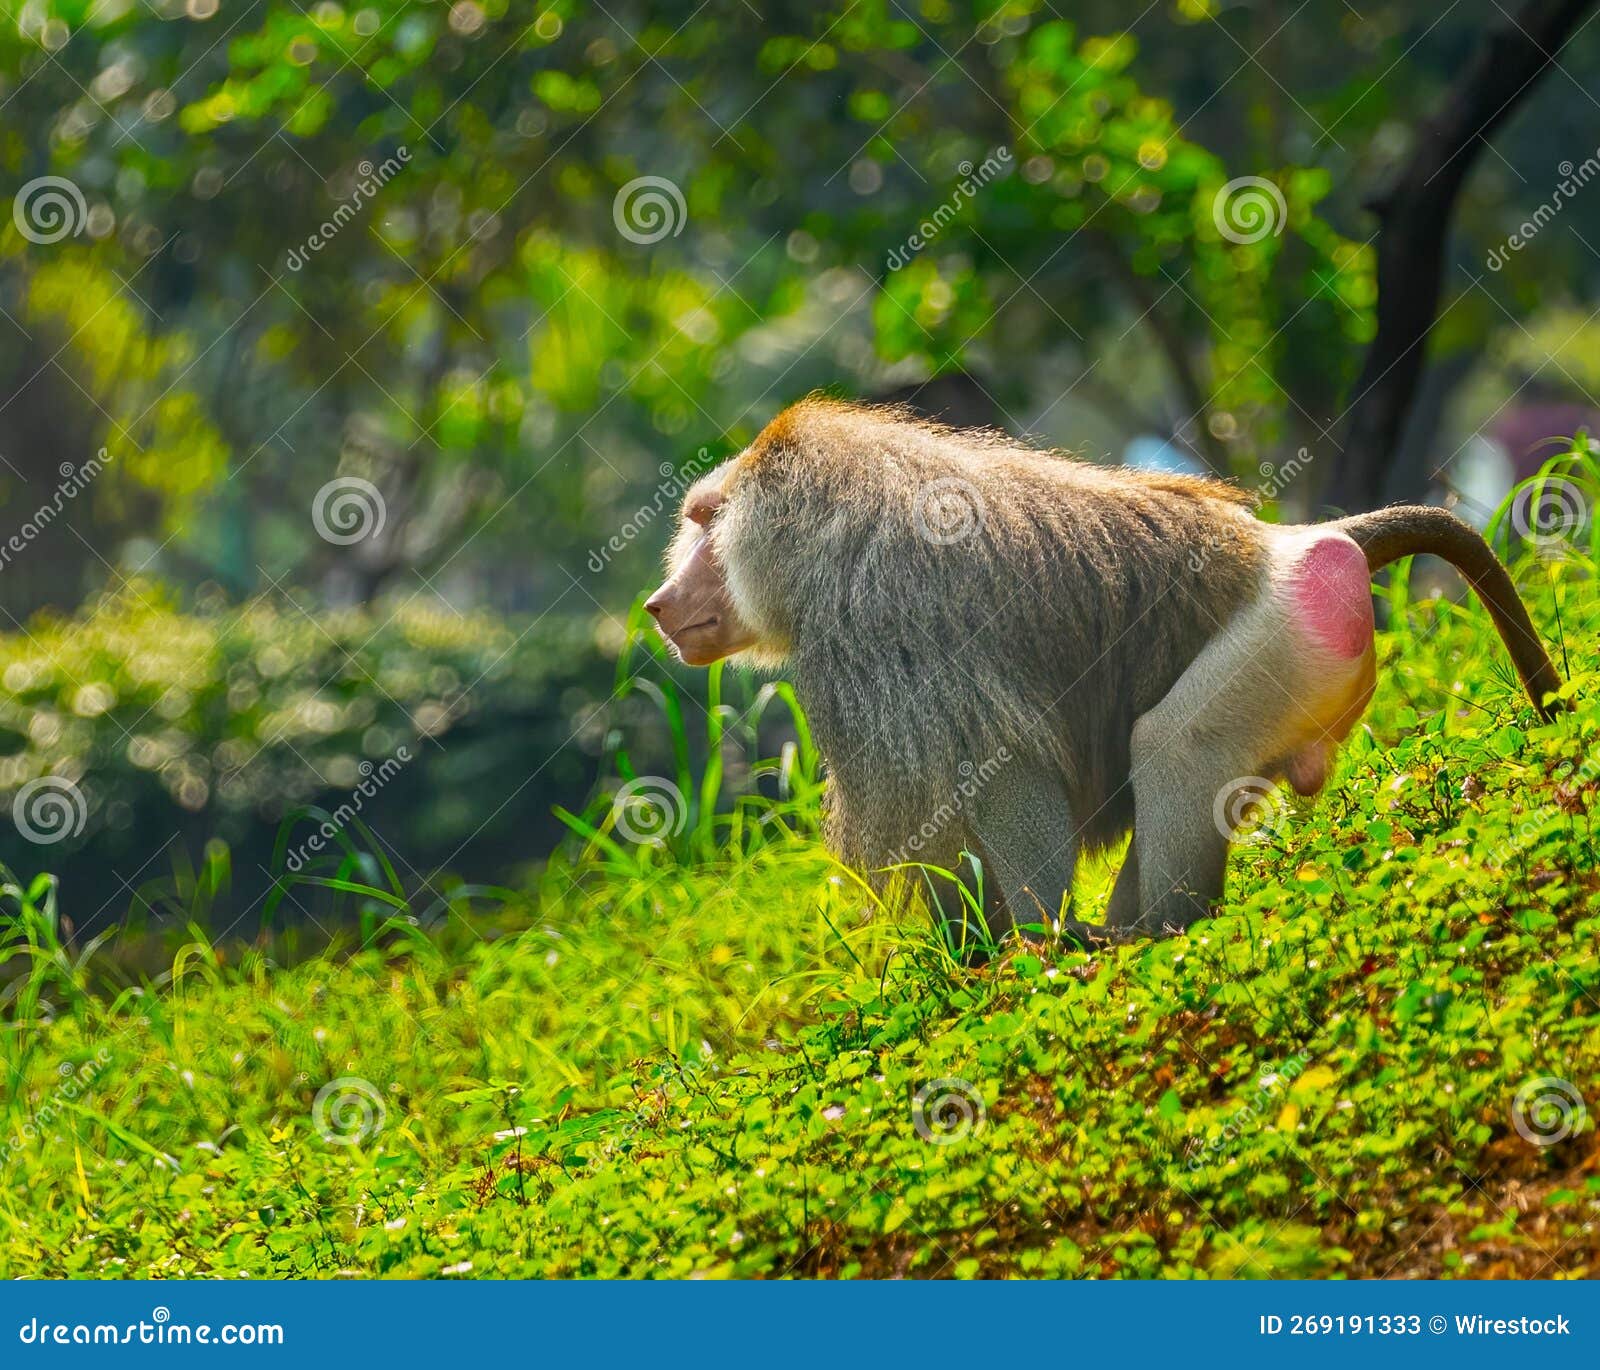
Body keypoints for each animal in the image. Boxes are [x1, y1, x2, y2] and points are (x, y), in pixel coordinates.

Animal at [644, 397, 1565, 944]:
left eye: (707, 520)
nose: (657, 602)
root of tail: (1300, 541)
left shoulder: (878, 629)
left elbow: (996, 775)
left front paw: (1037, 946)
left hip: (1283, 639)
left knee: (1175, 751)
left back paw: (1148, 938)